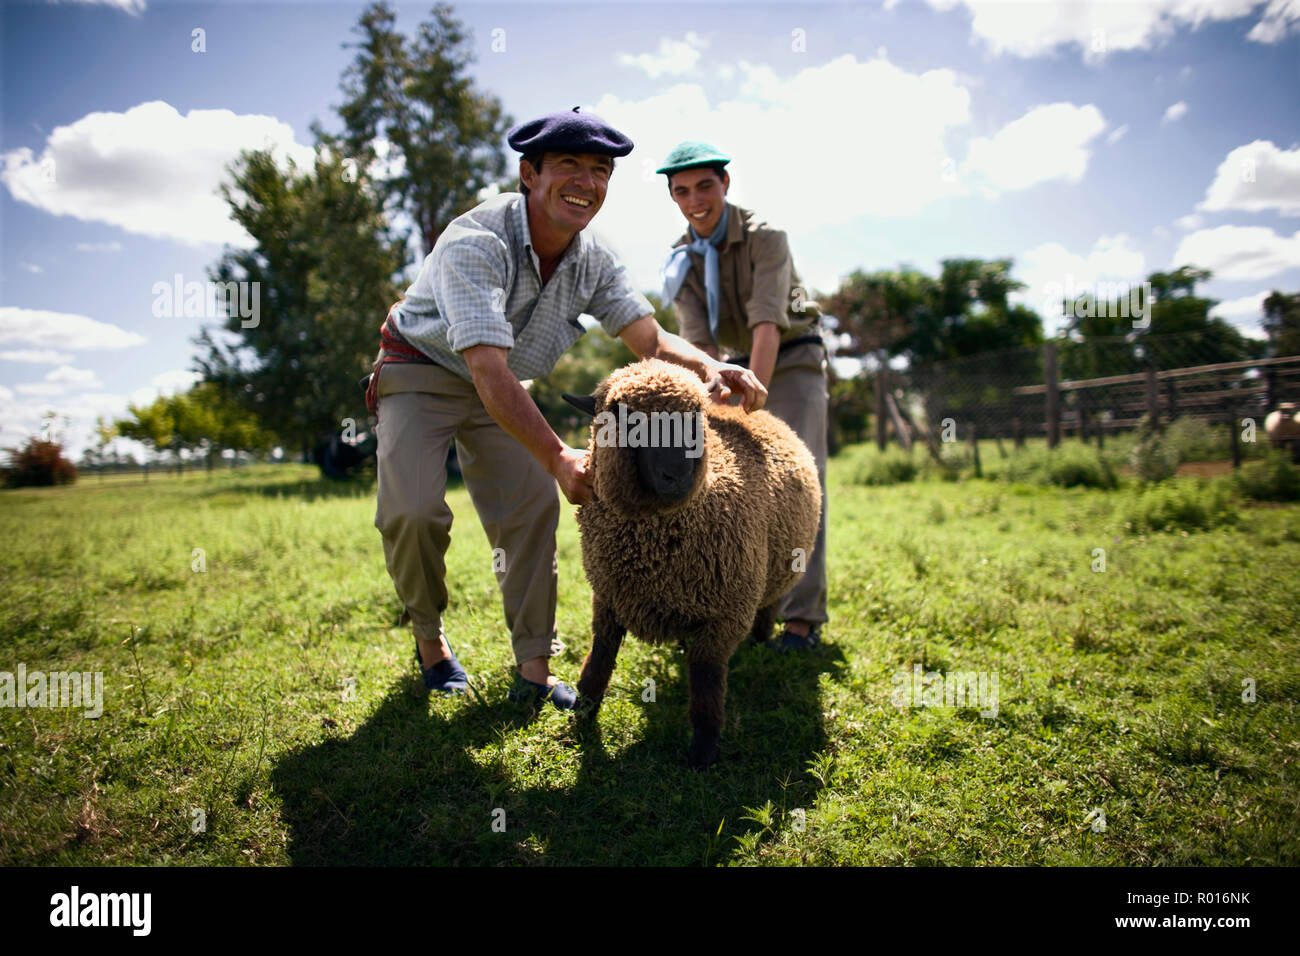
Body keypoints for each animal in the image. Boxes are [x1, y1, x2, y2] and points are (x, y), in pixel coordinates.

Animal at [562, 358, 822, 769]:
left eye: (697, 416)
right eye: (621, 415)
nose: (678, 476)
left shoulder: (724, 616)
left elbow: (706, 686)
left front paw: (701, 756)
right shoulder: (607, 598)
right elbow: (596, 664)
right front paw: (580, 722)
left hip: (781, 567)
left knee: (769, 607)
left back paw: (765, 642)